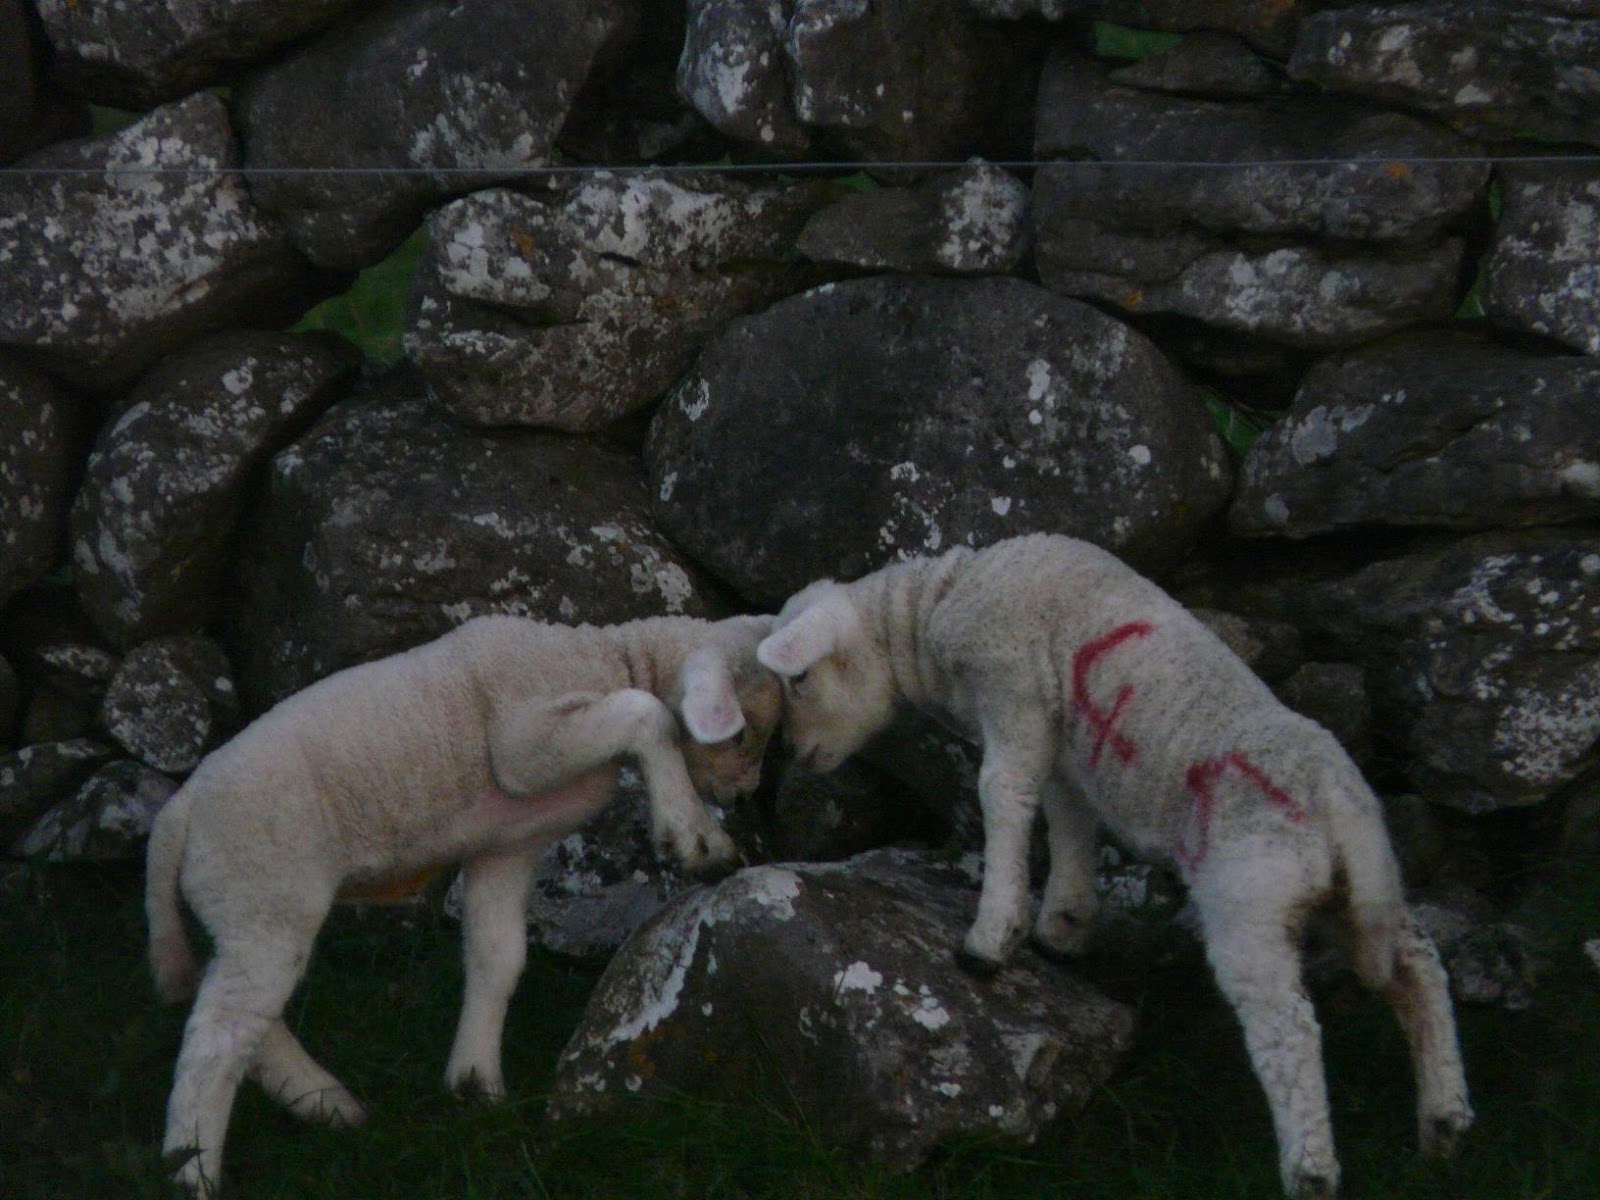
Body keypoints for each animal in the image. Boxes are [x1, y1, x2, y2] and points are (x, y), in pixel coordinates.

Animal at [145, 612, 779, 1196]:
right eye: (742, 735)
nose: (743, 794)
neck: (609, 658)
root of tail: (178, 813)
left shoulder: (508, 844)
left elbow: (497, 957)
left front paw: (475, 1082)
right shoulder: (525, 737)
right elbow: (646, 711)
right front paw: (695, 839)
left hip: (244, 907)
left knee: (242, 1017)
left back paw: (327, 1104)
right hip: (264, 891)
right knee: (218, 1034)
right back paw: (193, 1171)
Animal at [755, 533, 1472, 1200]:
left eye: (799, 680)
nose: (793, 754)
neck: (935, 607)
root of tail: (1339, 805)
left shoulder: (1014, 689)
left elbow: (1004, 793)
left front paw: (992, 938)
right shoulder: (1063, 733)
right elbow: (1068, 816)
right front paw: (1064, 924)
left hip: (1253, 896)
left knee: (1288, 1028)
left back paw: (1311, 1170)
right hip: (1358, 892)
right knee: (1418, 965)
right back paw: (1444, 1121)